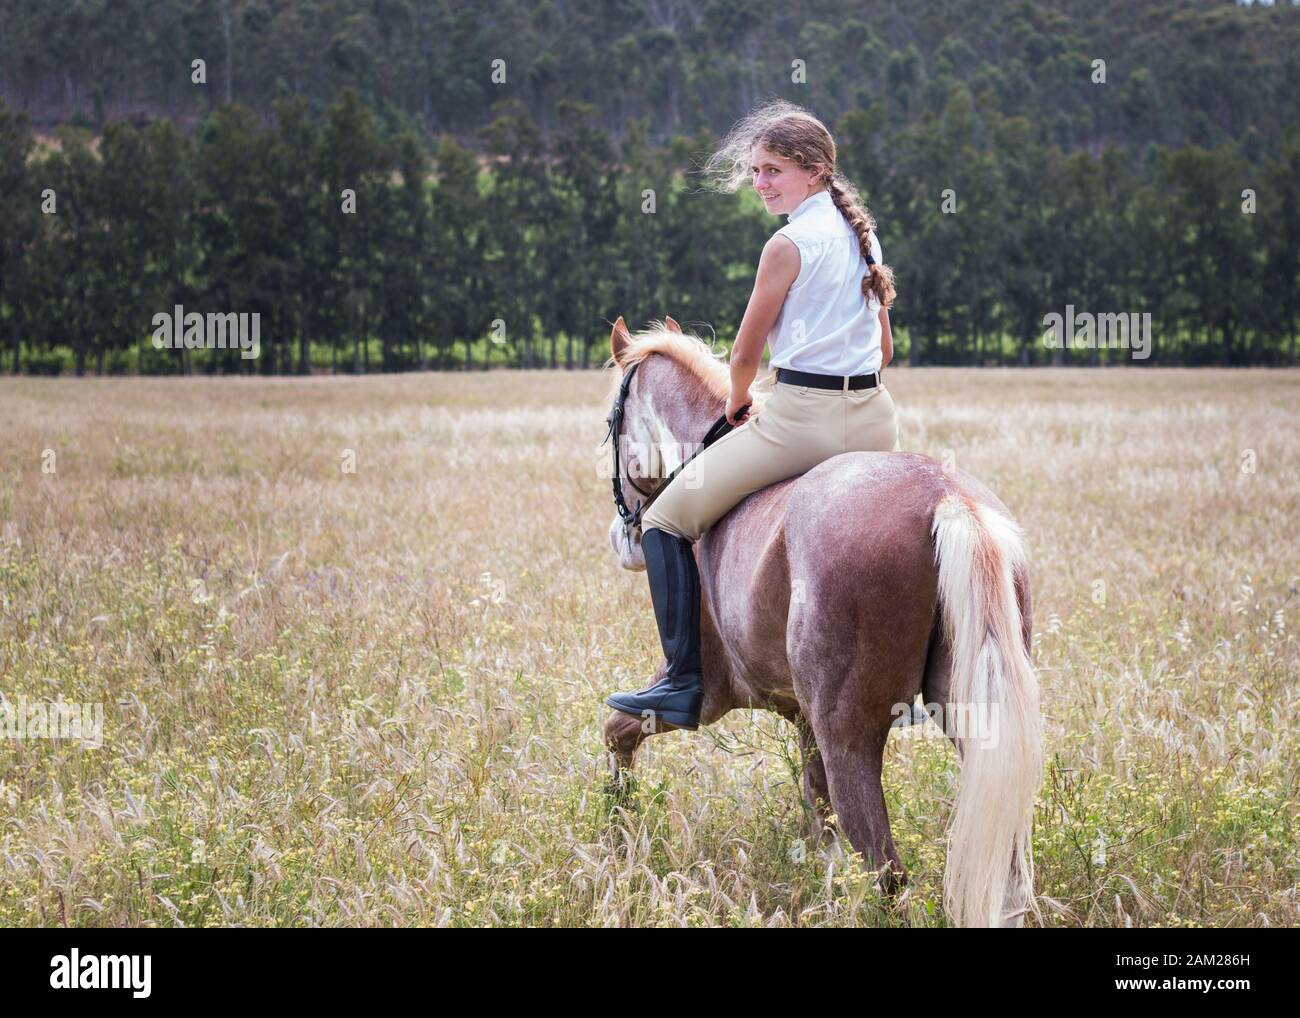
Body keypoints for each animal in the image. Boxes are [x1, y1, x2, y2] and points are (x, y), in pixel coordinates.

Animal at [599, 316, 1044, 928]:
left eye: (610, 426)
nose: (622, 541)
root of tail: (946, 497)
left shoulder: (713, 692)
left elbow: (618, 727)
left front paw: (619, 822)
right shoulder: (801, 713)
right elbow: (818, 813)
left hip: (848, 733)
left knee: (888, 870)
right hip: (970, 714)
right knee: (1008, 874)